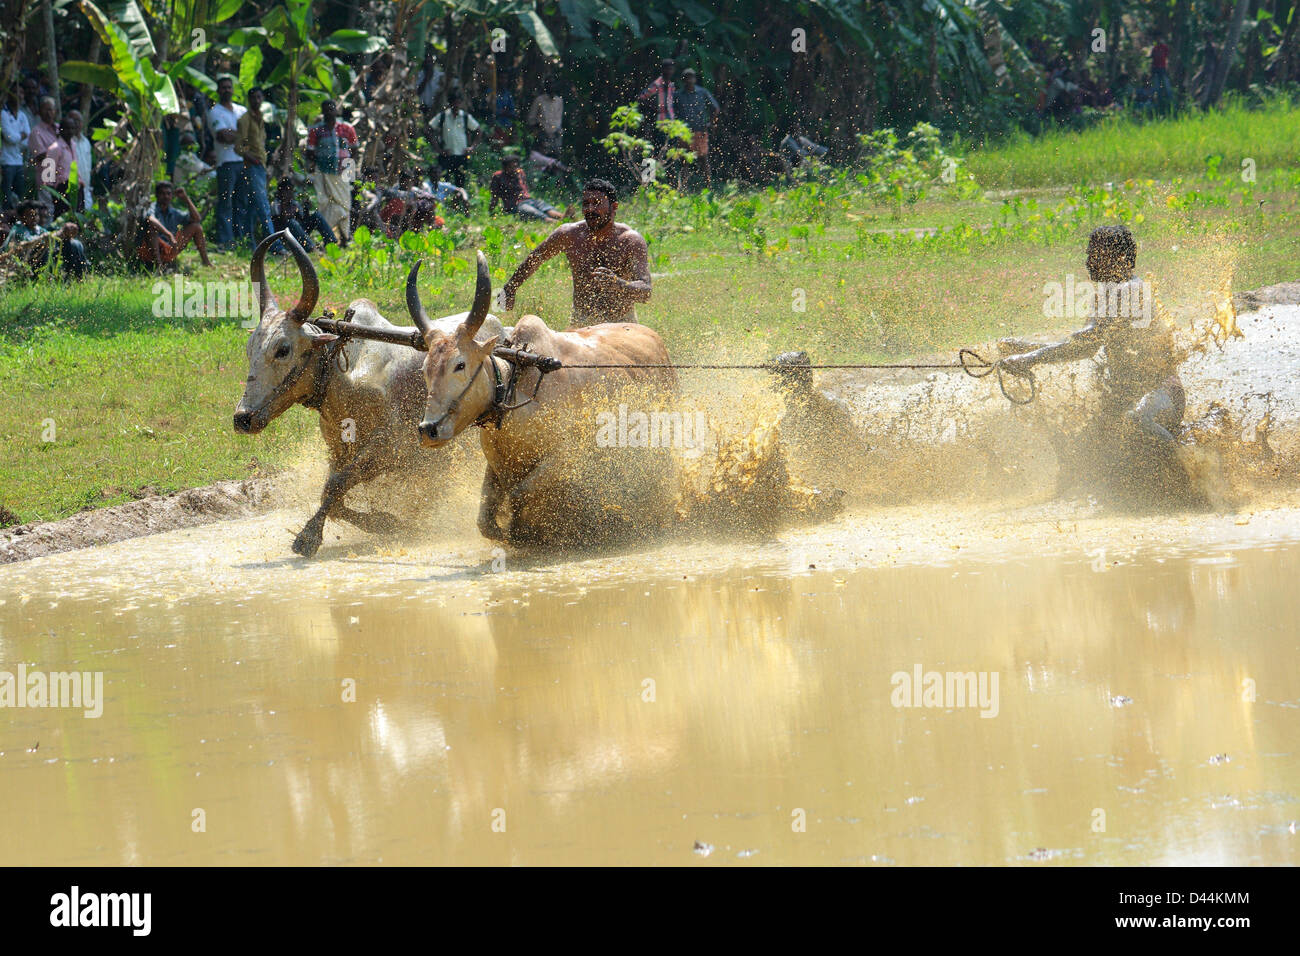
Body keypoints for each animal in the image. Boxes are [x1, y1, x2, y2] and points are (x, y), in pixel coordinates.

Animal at [233, 229, 502, 557]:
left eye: (283, 349)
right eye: (250, 350)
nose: (243, 418)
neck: (343, 378)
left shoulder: (390, 447)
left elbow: (337, 484)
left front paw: (308, 537)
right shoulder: (337, 449)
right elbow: (334, 497)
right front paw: (387, 522)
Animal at [410, 252, 680, 546]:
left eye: (459, 365)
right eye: (425, 369)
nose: (428, 429)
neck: (516, 389)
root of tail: (654, 339)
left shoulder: (564, 458)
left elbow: (518, 495)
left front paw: (520, 531)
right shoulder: (496, 466)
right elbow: (485, 519)